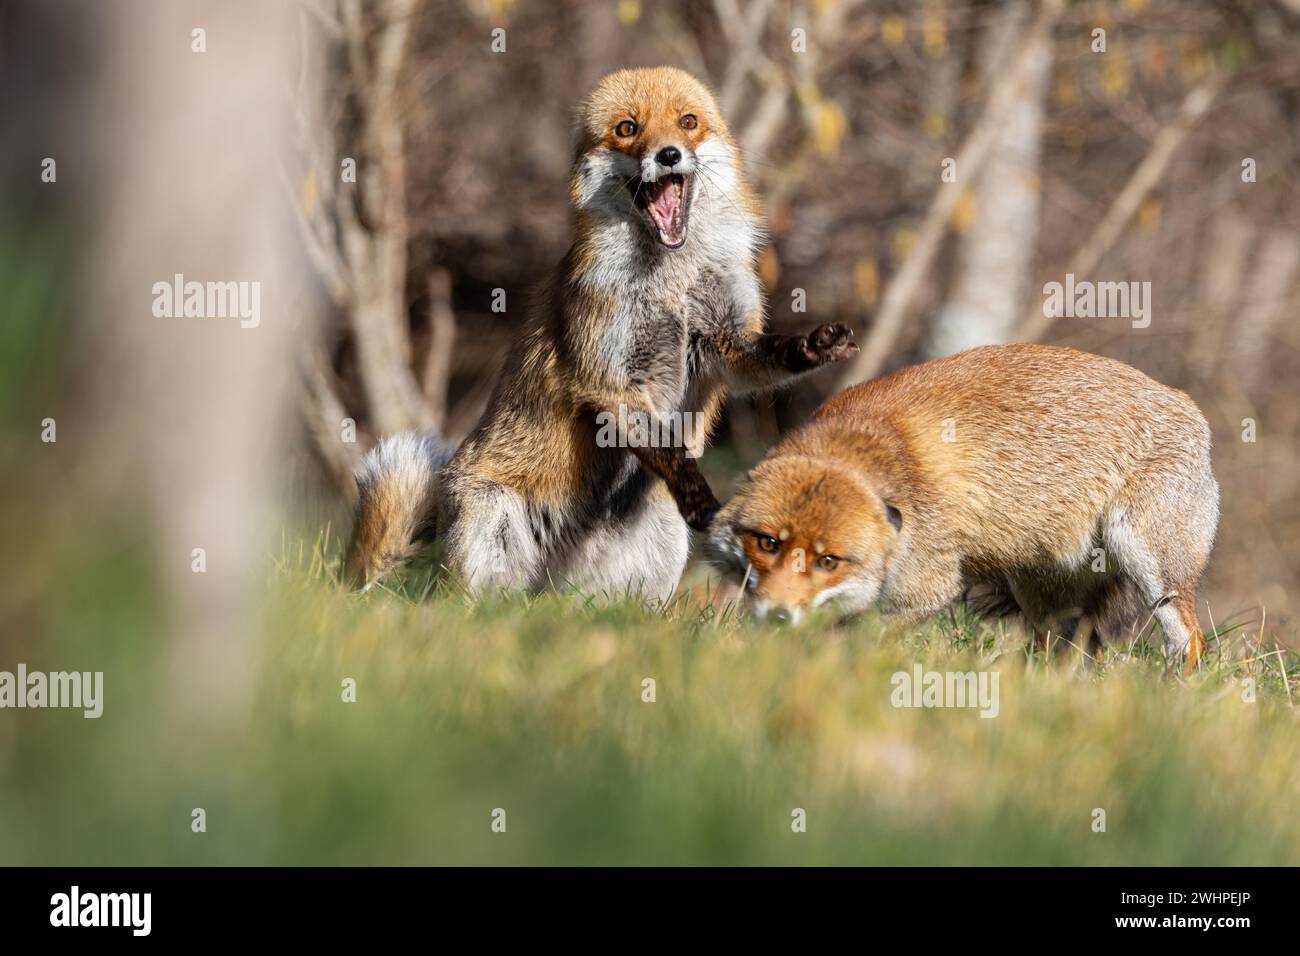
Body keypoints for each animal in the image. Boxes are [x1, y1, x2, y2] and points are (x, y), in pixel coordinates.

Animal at [345, 66, 858, 596]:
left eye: (688, 122)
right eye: (627, 128)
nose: (668, 155)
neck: (672, 282)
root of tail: (549, 588)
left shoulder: (725, 343)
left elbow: (766, 359)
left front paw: (814, 347)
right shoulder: (610, 377)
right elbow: (671, 452)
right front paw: (697, 492)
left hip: (657, 544)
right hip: (489, 522)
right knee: (470, 604)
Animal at [706, 344, 1220, 672]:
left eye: (828, 561)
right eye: (767, 544)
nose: (777, 616)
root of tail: (1184, 400)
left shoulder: (929, 587)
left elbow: (856, 636)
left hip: (1156, 573)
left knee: (1191, 642)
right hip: (1046, 599)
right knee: (1073, 655)